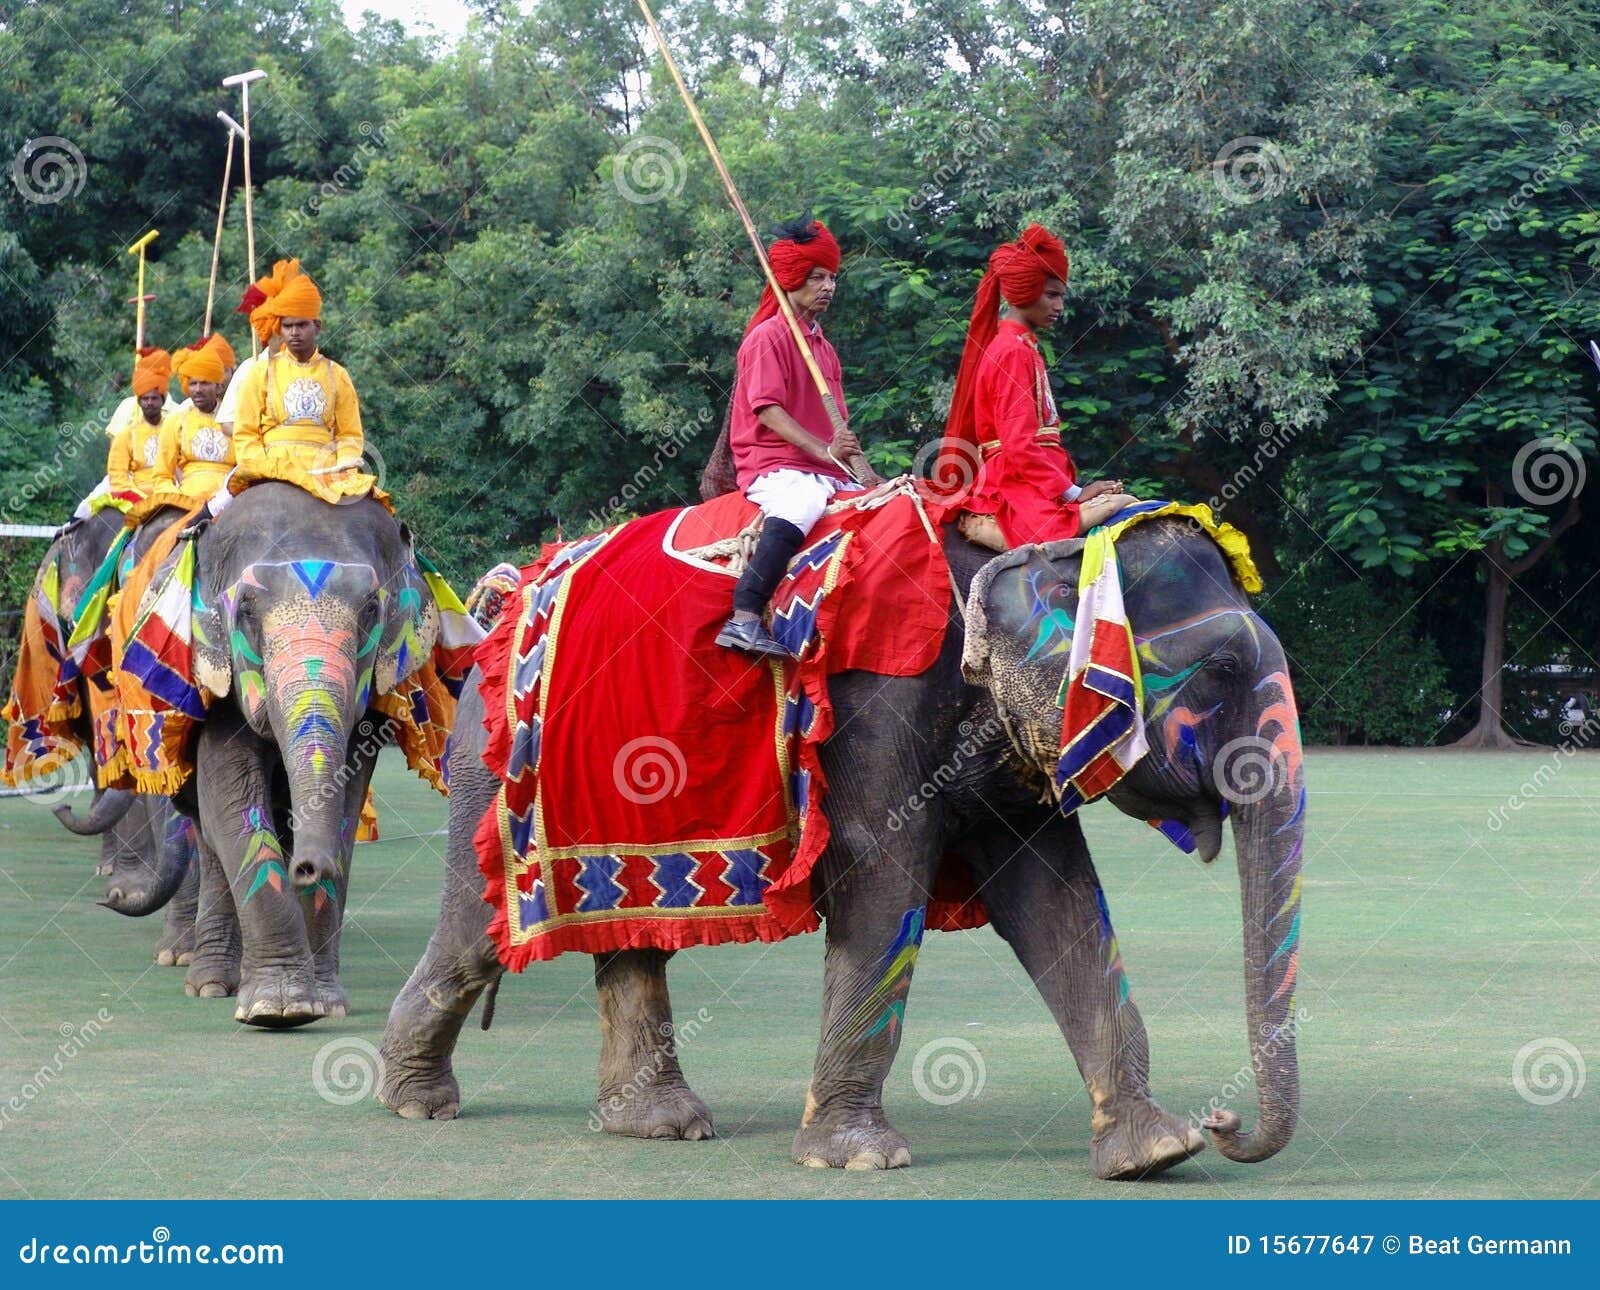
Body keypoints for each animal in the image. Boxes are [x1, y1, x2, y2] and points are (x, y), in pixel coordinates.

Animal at [173, 481, 445, 1026]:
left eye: (370, 610)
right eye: (246, 610)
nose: (306, 866)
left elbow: (345, 804)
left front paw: (328, 1005)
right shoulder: (218, 682)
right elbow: (233, 806)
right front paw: (278, 1010)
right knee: (208, 833)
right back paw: (211, 983)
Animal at [377, 515, 1304, 1179]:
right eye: (1221, 671)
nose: (1225, 1120)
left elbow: (1058, 900)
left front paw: (1157, 1152)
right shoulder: (877, 701)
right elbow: (883, 877)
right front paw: (859, 1159)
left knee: (629, 934)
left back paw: (657, 1126)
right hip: (490, 772)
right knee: (479, 929)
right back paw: (415, 1103)